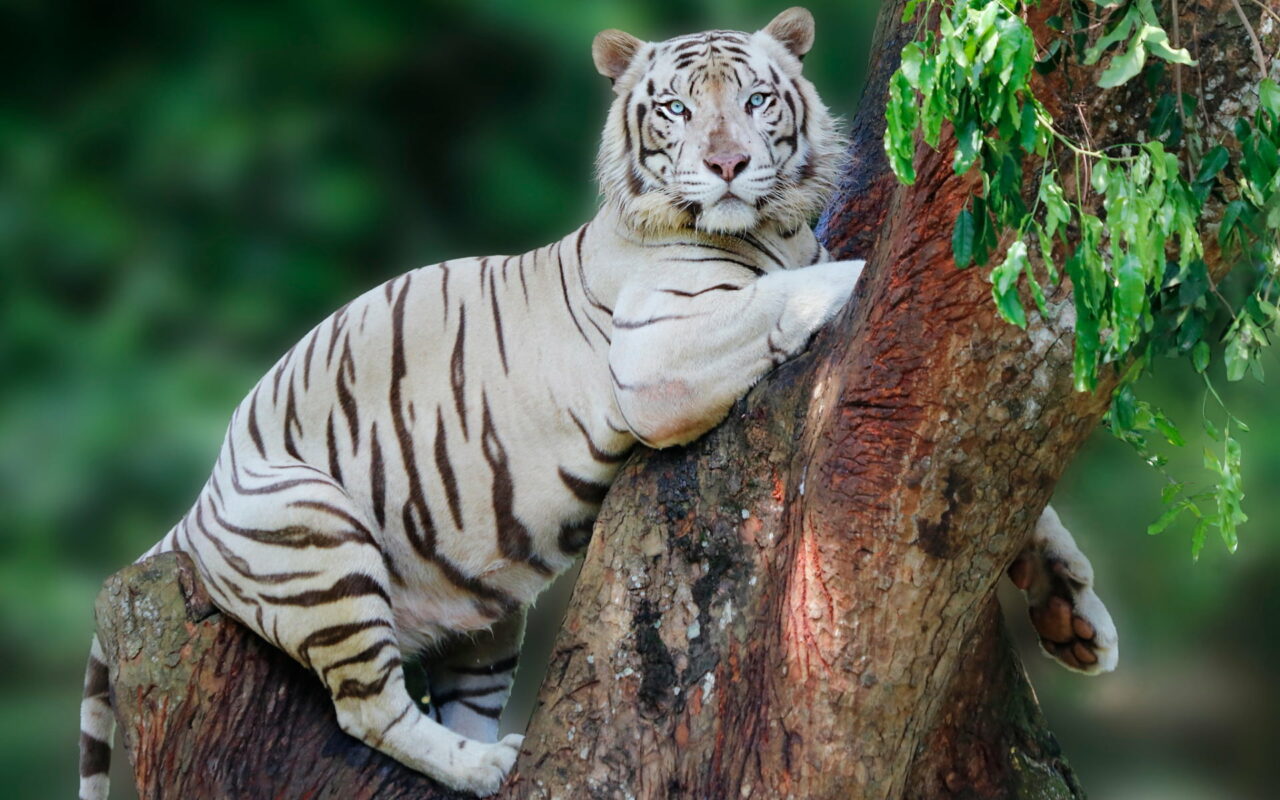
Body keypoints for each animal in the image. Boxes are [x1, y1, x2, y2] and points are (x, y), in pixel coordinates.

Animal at [79, 8, 1119, 798]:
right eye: (676, 109)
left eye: (756, 100)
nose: (728, 164)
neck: (775, 230)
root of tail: (192, 510)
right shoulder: (656, 358)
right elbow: (788, 296)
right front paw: (869, 273)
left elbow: (1022, 505)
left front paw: (1074, 614)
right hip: (317, 536)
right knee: (366, 706)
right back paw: (487, 768)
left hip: (484, 617)